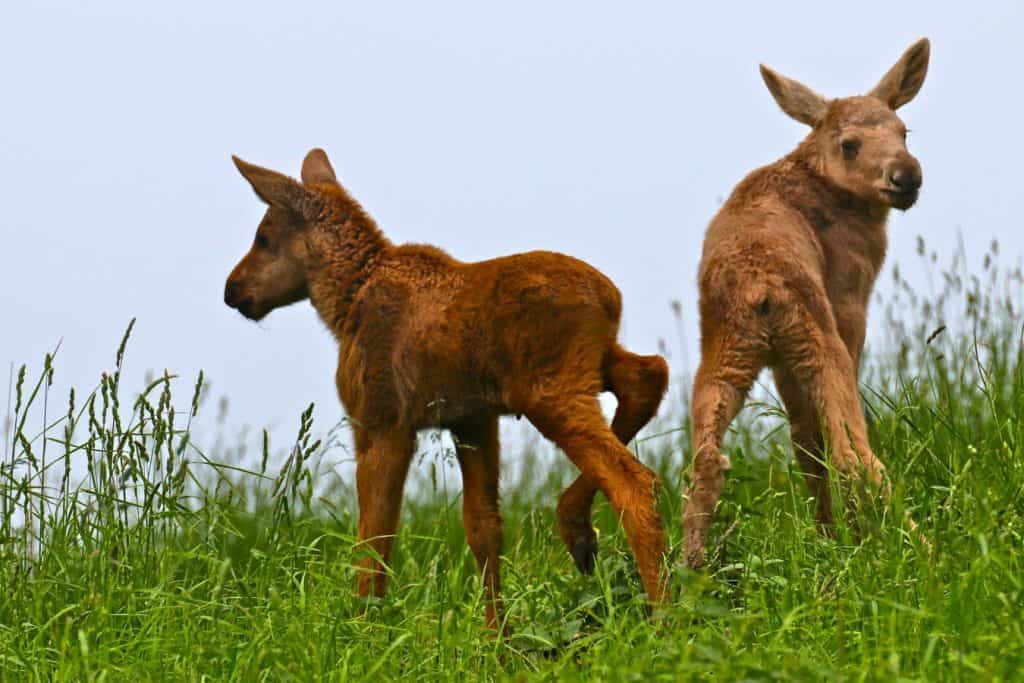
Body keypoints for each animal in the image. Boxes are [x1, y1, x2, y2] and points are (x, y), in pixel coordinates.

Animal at [223, 148, 670, 628]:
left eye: (264, 237)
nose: (232, 289)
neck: (343, 305)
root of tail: (610, 298)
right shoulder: (472, 419)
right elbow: (483, 528)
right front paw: (497, 638)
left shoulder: (381, 421)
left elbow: (375, 538)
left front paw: (364, 627)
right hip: (591, 365)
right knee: (649, 375)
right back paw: (579, 530)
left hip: (550, 388)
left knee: (632, 478)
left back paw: (664, 612)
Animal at [673, 38, 931, 569]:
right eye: (849, 144)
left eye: (903, 130)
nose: (907, 176)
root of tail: (760, 287)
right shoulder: (852, 304)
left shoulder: (781, 364)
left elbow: (804, 443)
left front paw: (829, 536)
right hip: (818, 340)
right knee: (855, 453)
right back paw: (924, 552)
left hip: (729, 355)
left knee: (705, 463)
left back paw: (687, 579)